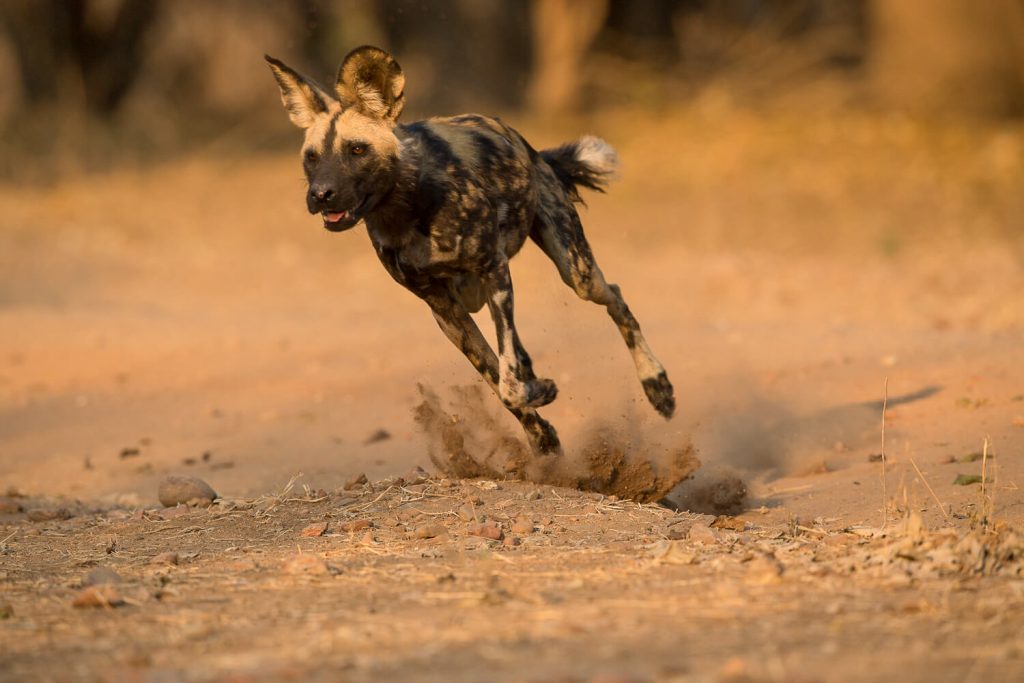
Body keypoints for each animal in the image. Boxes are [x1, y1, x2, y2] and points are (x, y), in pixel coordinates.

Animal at [265, 46, 675, 457]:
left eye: (356, 150)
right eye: (312, 157)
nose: (320, 194)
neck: (407, 209)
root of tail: (531, 149)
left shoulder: (494, 271)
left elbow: (508, 385)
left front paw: (540, 395)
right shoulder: (445, 310)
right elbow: (498, 380)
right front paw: (542, 433)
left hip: (576, 271)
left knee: (615, 299)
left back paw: (657, 386)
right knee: (518, 353)